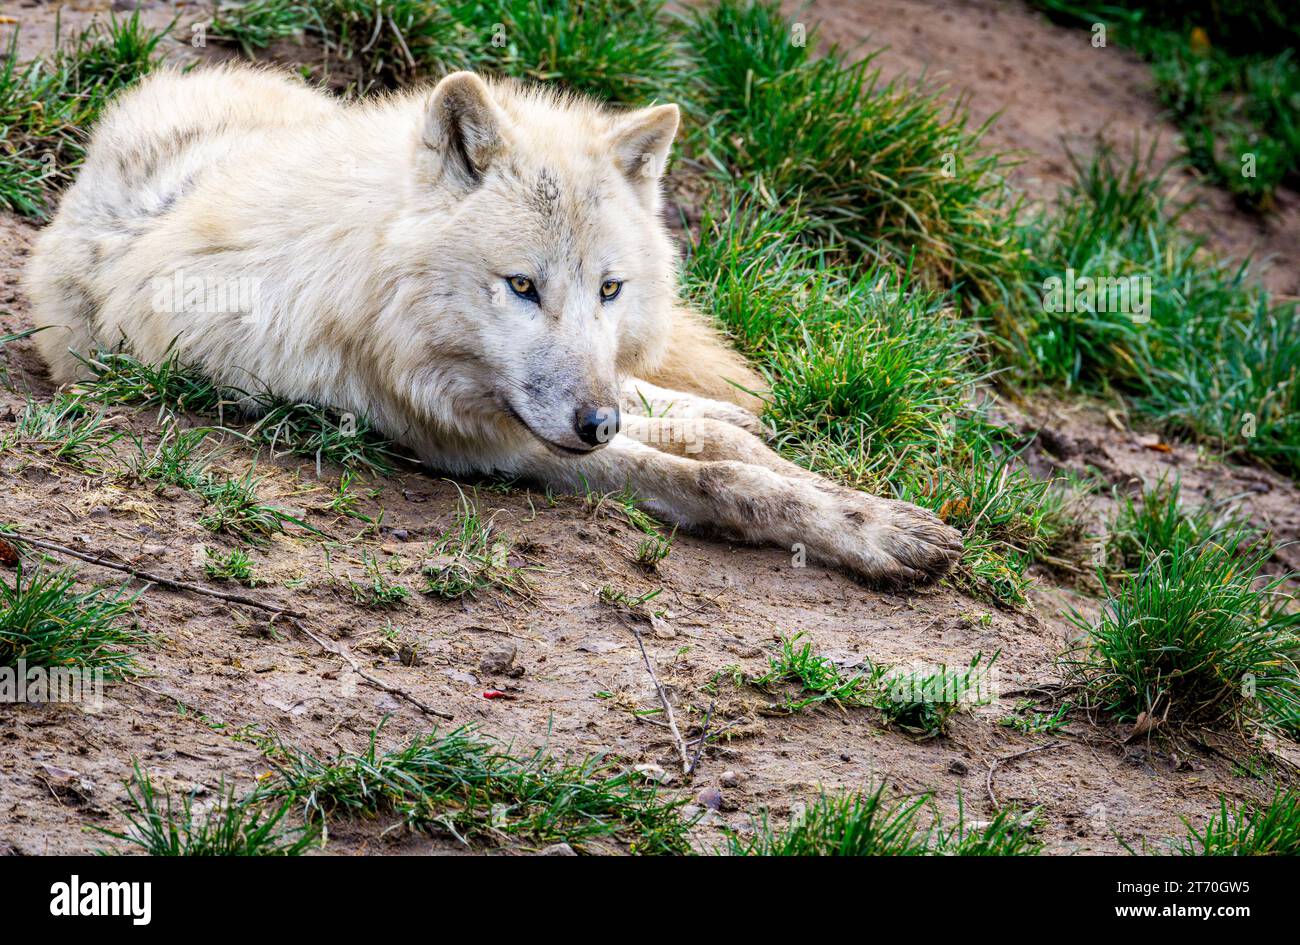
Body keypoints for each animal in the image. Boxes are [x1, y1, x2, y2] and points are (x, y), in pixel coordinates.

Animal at [27, 65, 961, 587]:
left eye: (610, 289)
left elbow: (733, 451)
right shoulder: (494, 447)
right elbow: (726, 478)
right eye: (521, 285)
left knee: (677, 403)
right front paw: (877, 532)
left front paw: (873, 511)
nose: (595, 423)